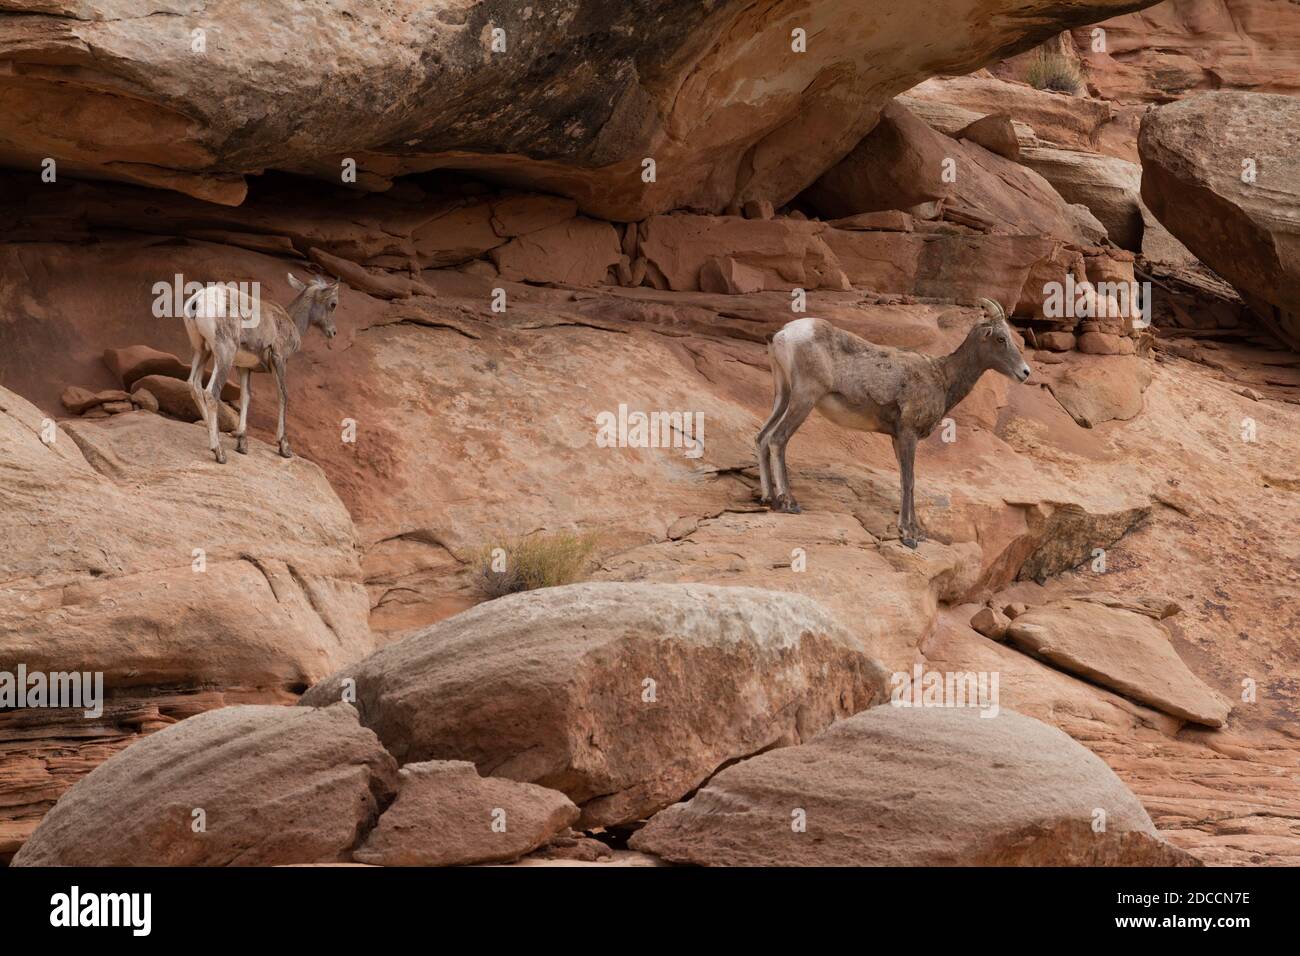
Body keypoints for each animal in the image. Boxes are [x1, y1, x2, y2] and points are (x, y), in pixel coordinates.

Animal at [756, 298, 1031, 548]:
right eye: (1001, 339)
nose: (1025, 372)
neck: (943, 378)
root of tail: (783, 334)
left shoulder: (897, 438)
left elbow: (906, 481)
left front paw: (916, 532)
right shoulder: (908, 433)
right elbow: (909, 480)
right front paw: (908, 536)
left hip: (783, 394)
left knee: (762, 438)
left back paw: (768, 498)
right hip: (805, 397)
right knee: (778, 438)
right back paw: (789, 503)